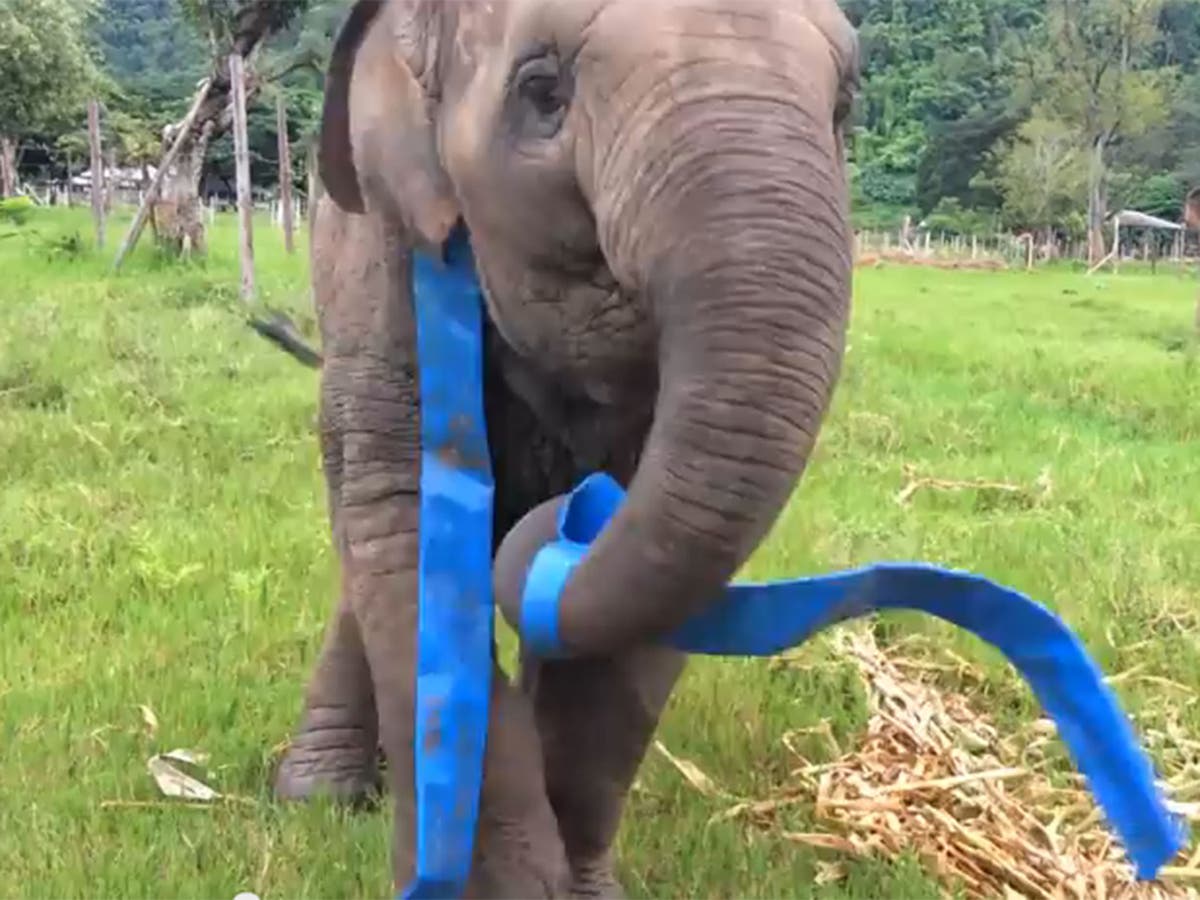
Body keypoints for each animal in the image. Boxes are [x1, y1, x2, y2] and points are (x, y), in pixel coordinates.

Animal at [272, 0, 860, 895]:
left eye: (845, 106)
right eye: (542, 90)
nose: (549, 519)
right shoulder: (382, 258)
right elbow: (408, 521)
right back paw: (318, 796)